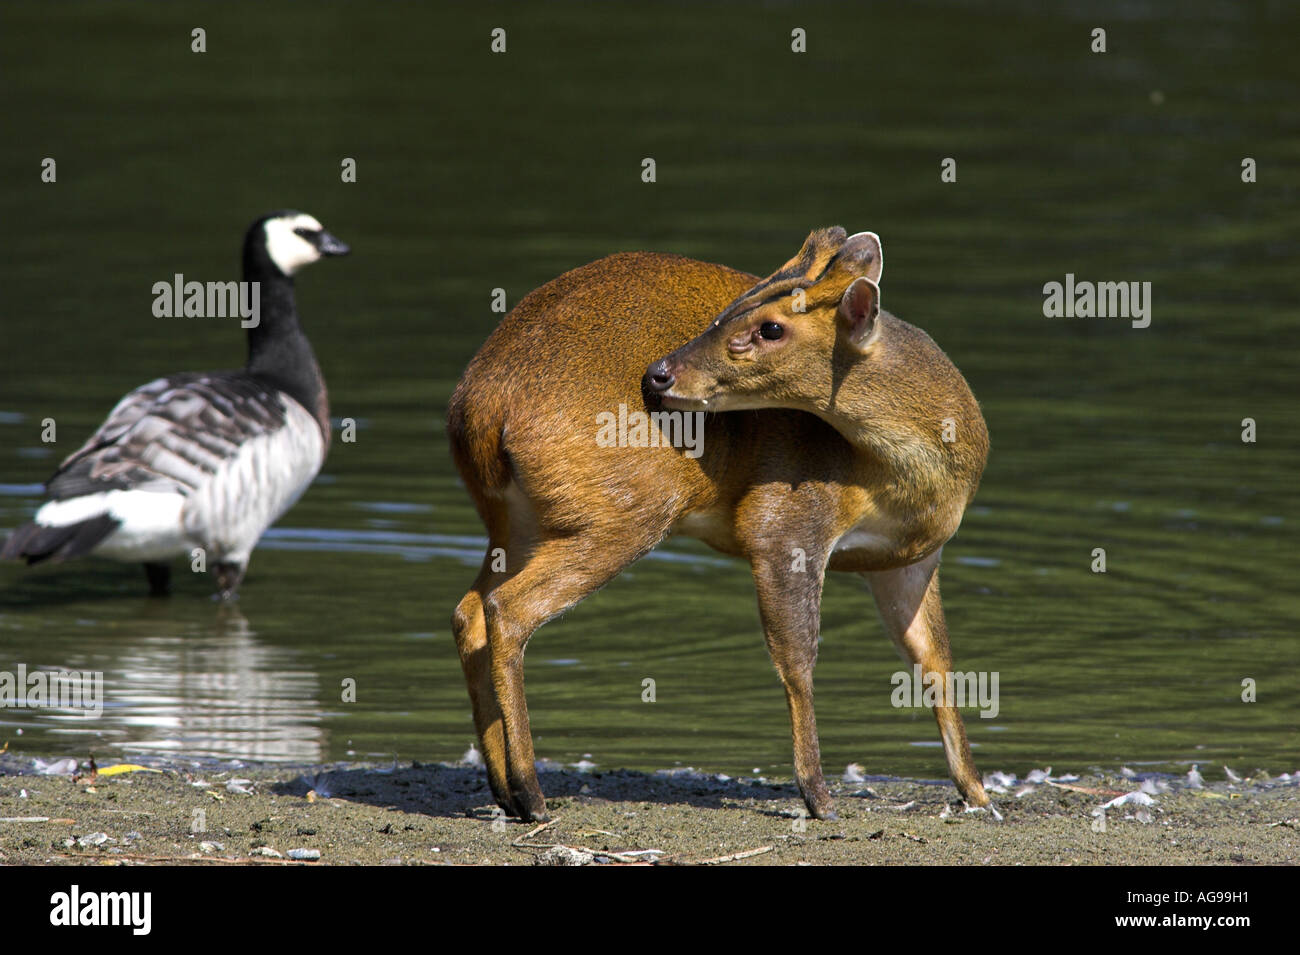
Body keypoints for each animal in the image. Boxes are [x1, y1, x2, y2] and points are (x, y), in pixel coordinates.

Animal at [448, 227, 991, 822]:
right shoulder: (784, 521)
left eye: (769, 326)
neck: (910, 481)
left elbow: (935, 663)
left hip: (519, 521)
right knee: (508, 609)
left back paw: (504, 789)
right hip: (626, 508)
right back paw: (531, 794)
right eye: (727, 311)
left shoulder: (911, 558)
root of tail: (481, 407)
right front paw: (818, 796)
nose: (657, 374)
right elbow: (798, 658)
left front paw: (979, 794)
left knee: (470, 609)